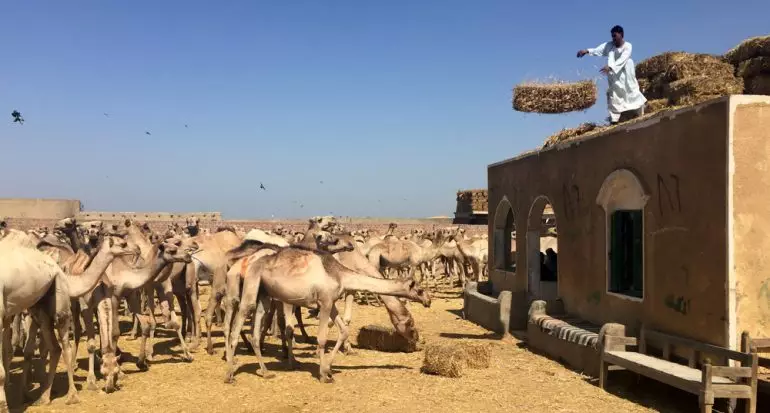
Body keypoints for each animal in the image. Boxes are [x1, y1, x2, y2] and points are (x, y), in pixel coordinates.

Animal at [222, 241, 428, 384]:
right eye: (418, 290)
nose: (428, 300)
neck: (341, 274)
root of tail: (245, 262)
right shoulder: (325, 301)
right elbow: (321, 338)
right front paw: (323, 374)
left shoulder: (332, 301)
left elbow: (343, 330)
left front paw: (329, 369)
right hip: (251, 286)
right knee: (236, 324)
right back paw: (230, 373)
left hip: (264, 293)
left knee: (256, 330)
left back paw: (265, 372)